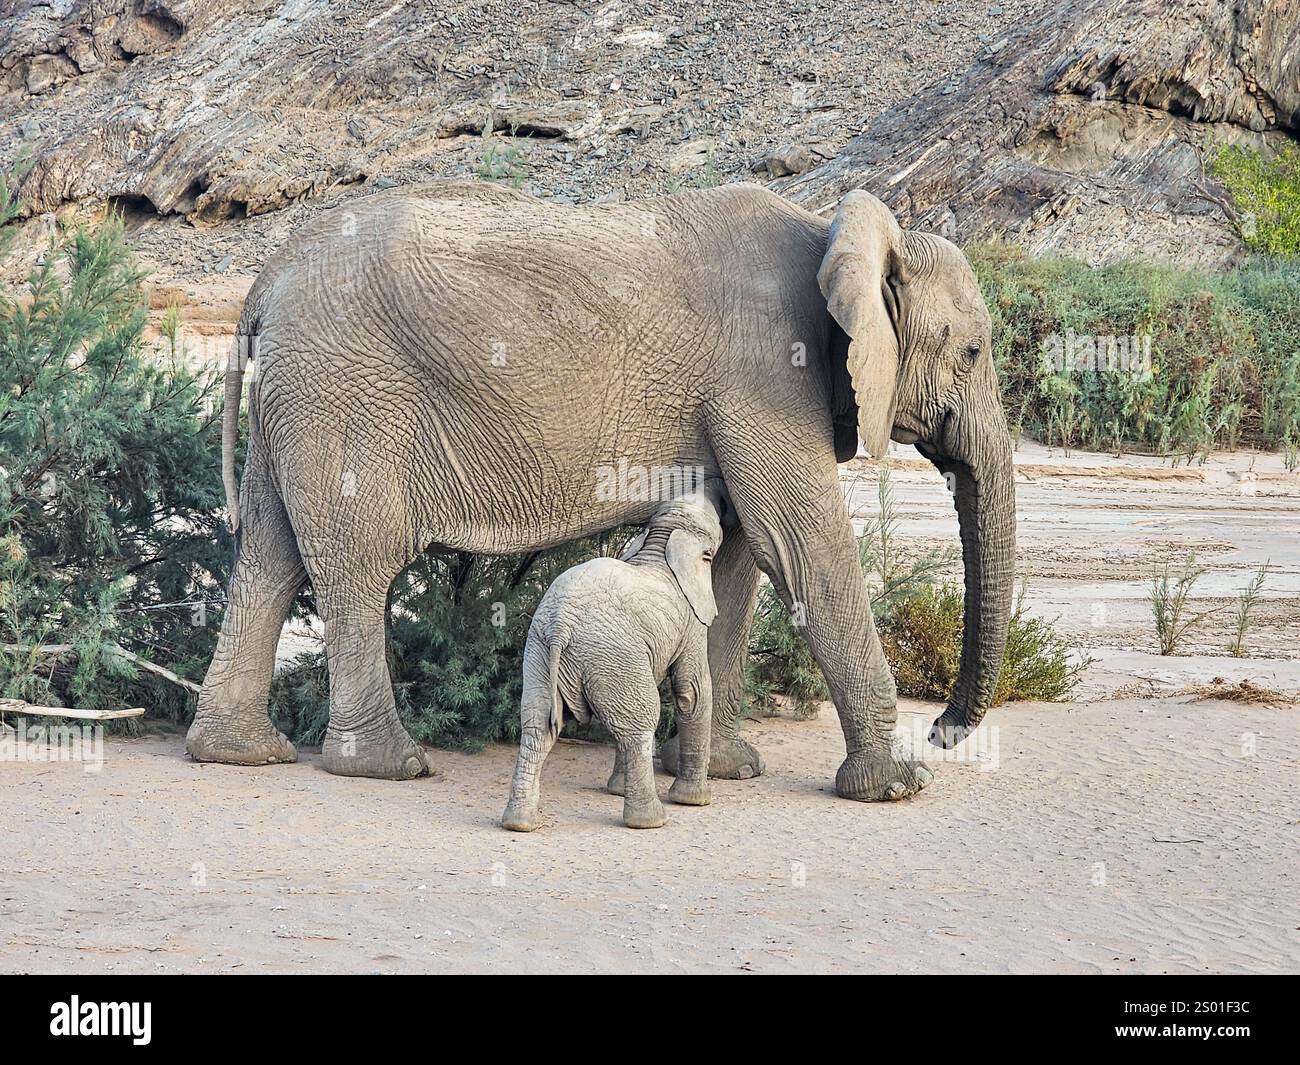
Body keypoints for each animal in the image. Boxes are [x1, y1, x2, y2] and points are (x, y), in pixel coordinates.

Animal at [501, 486, 725, 832]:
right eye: (711, 551)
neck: (660, 542)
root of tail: (560, 623)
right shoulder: (690, 618)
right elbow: (691, 691)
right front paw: (694, 801)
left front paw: (618, 790)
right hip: (609, 650)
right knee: (641, 721)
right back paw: (652, 821)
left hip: (540, 650)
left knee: (537, 723)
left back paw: (520, 824)